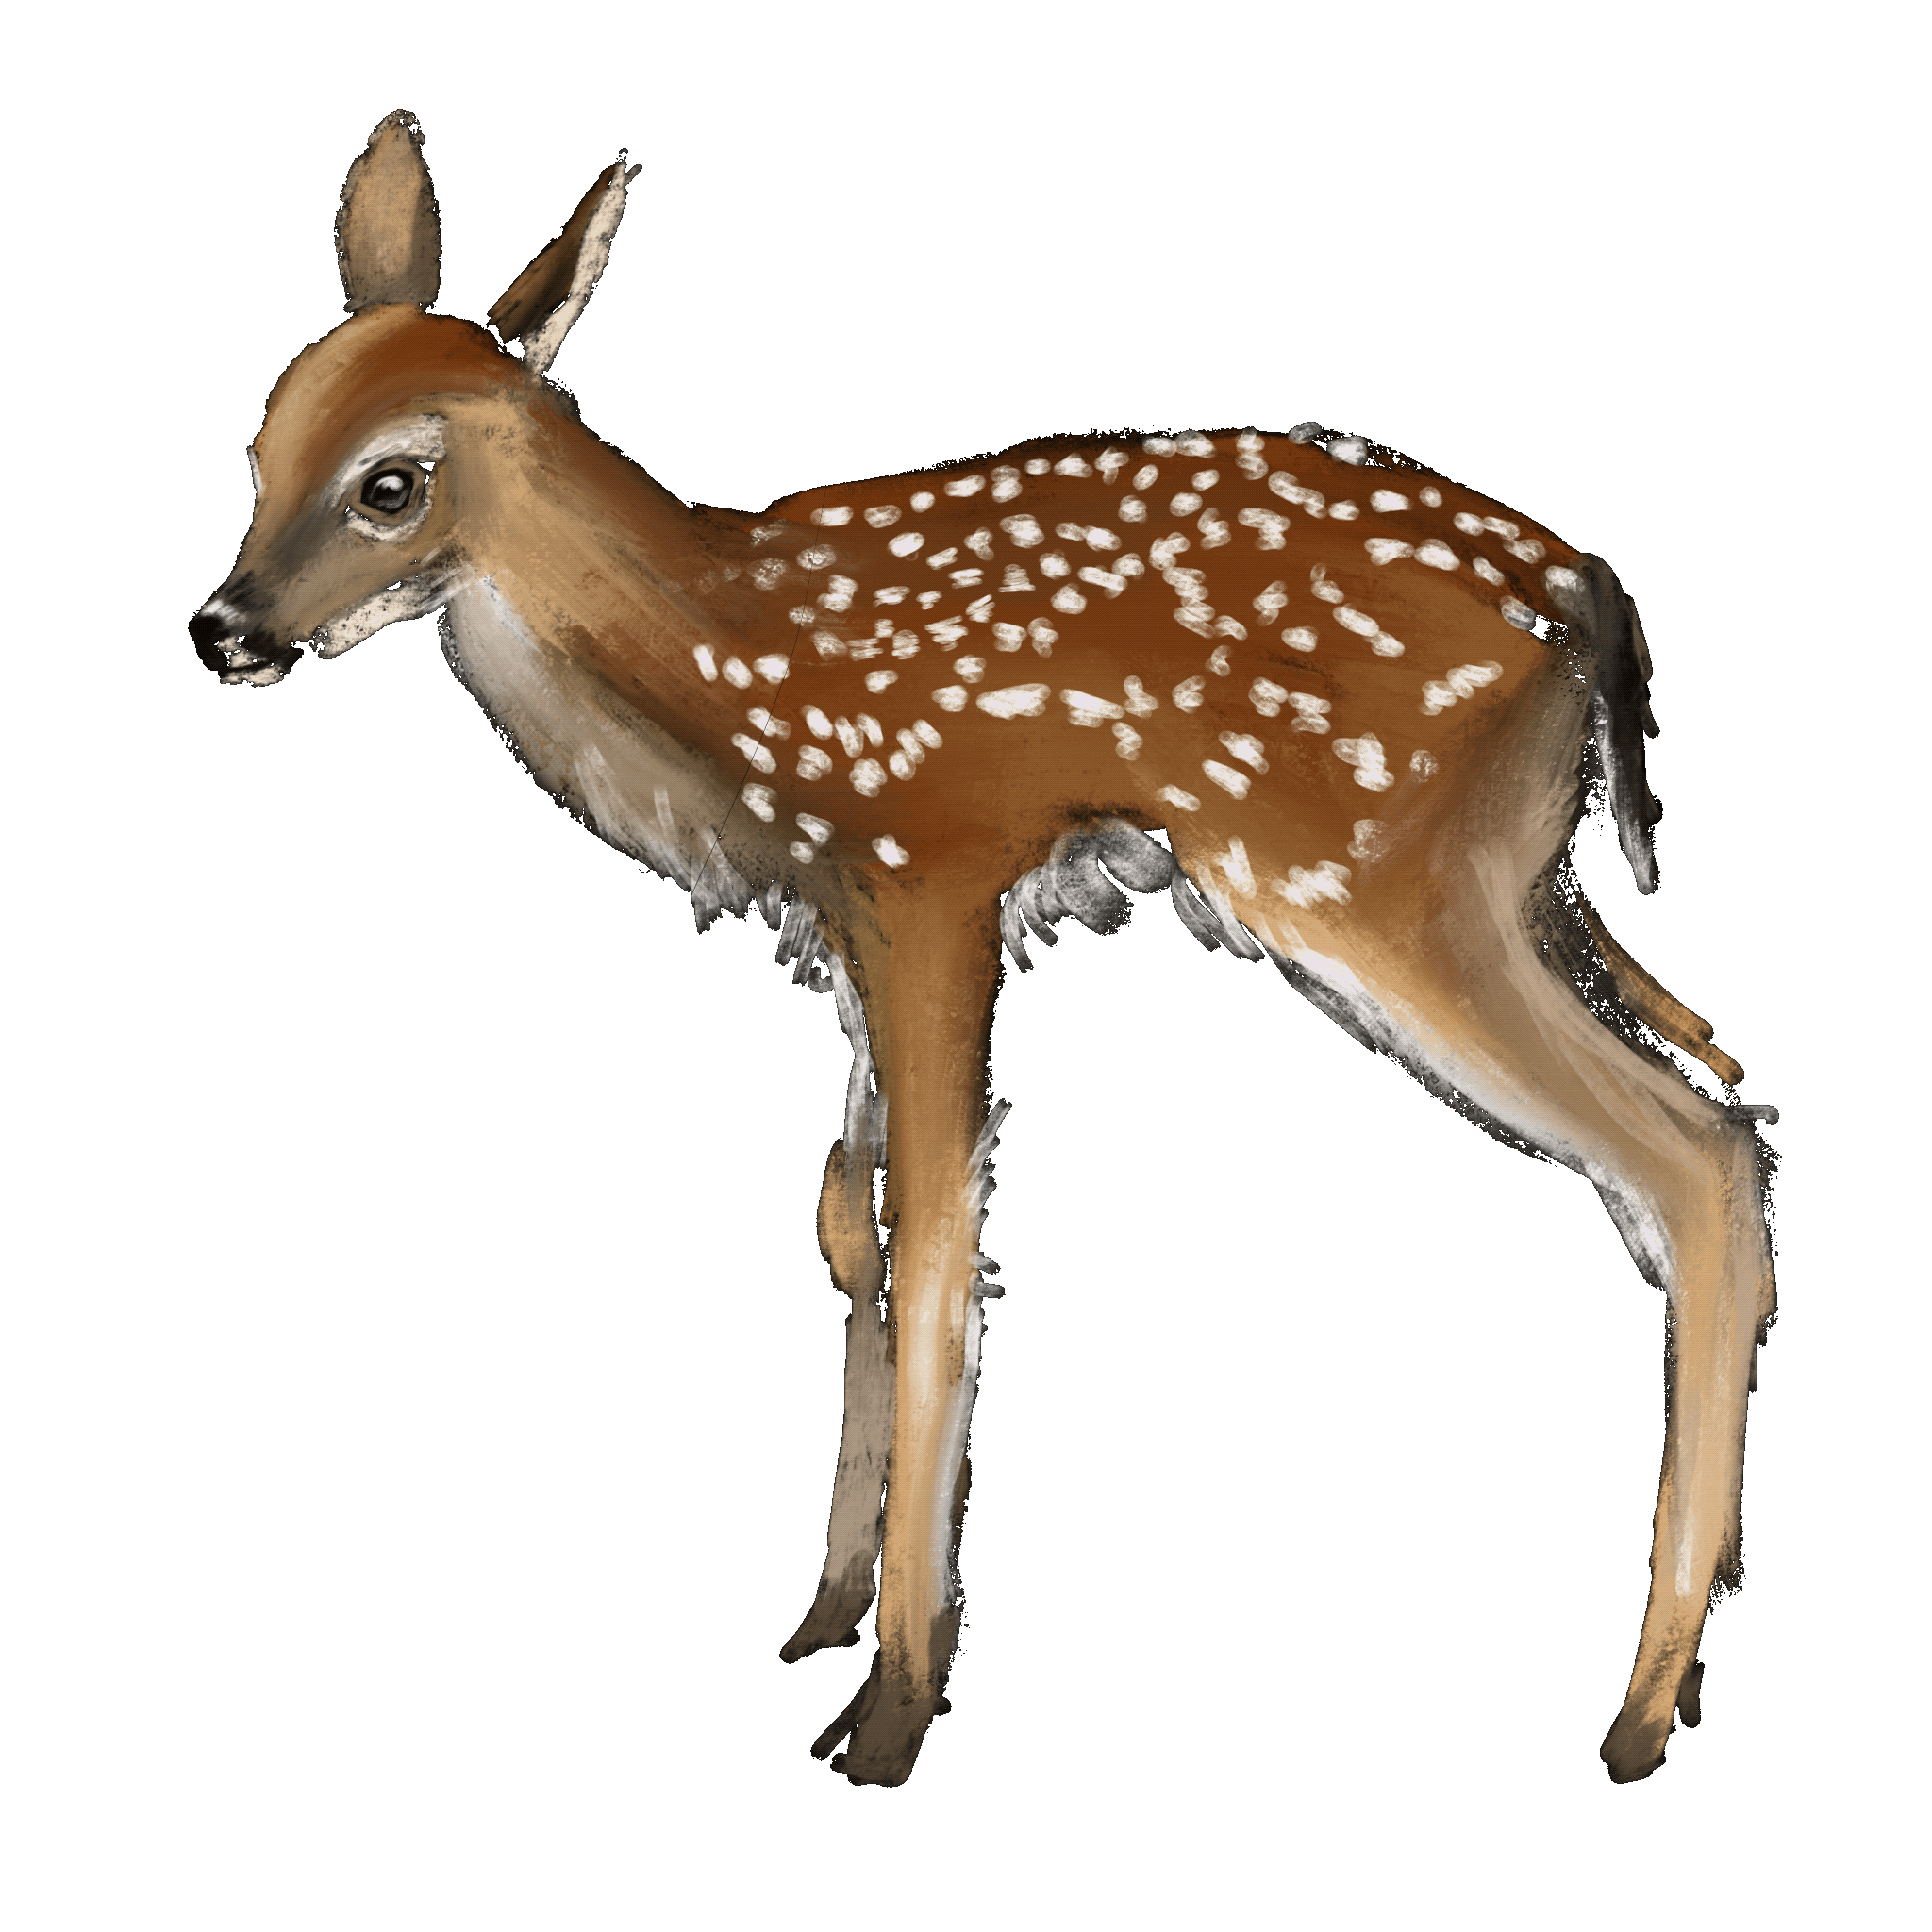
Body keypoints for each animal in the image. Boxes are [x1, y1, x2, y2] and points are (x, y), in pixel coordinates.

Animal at [190, 111, 1778, 1788]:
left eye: (390, 483)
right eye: (260, 450)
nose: (226, 630)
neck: (729, 668)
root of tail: (1576, 584)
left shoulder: (933, 874)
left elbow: (942, 1242)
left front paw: (890, 1708)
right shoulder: (847, 930)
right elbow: (847, 1225)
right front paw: (825, 1618)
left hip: (1375, 880)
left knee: (1689, 1154)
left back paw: (1642, 1714)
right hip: (1528, 886)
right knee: (1714, 1091)